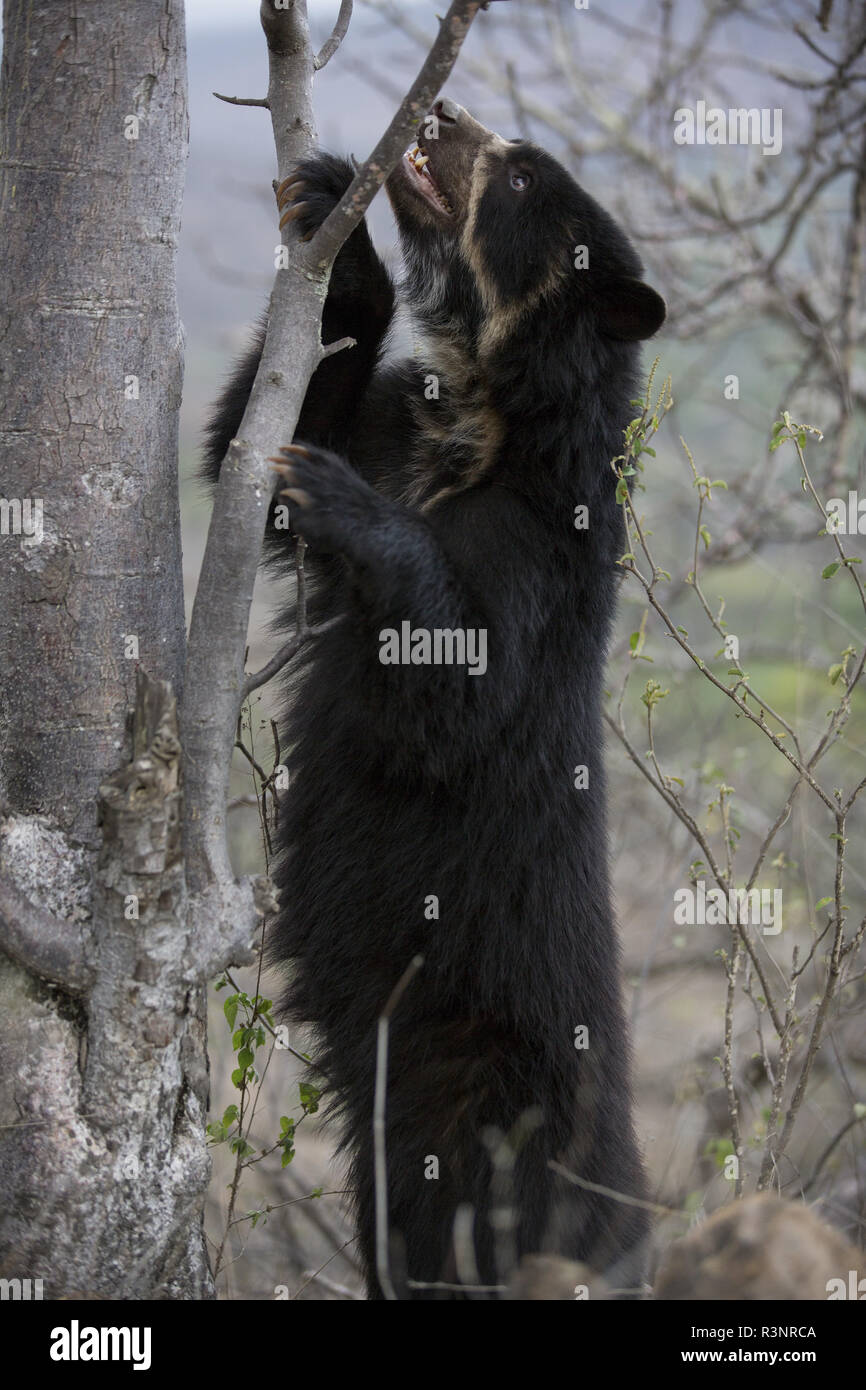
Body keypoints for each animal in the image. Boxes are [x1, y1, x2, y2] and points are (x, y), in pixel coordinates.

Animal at [202, 99, 665, 1300]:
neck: (482, 415)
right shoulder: (394, 422)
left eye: (517, 179)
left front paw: (338, 500)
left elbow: (456, 674)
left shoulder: (539, 562)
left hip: (490, 1115)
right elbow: (260, 440)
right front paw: (328, 208)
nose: (446, 112)